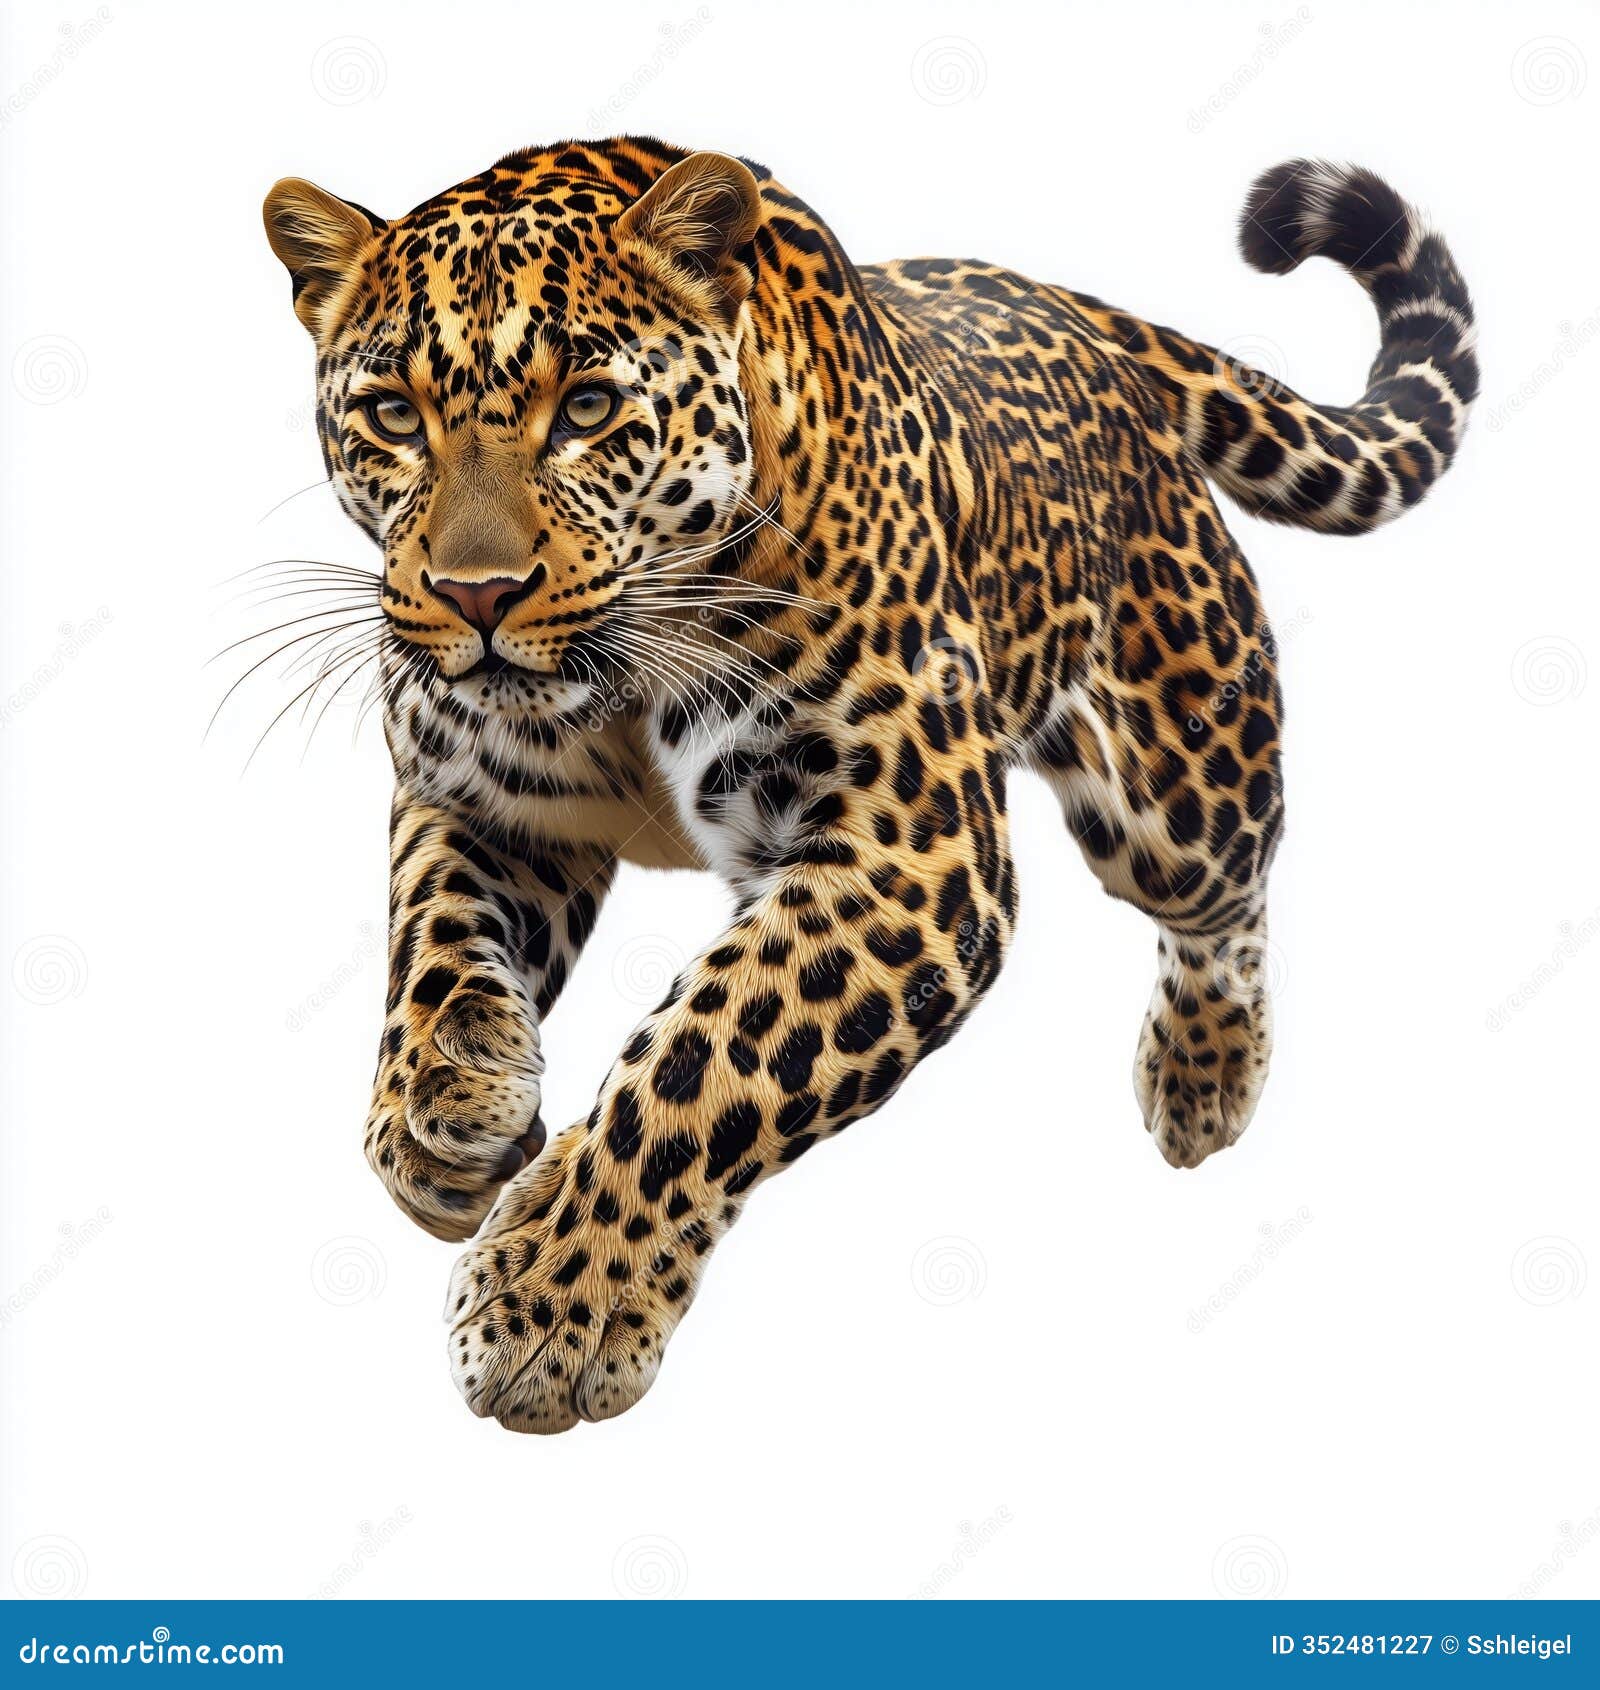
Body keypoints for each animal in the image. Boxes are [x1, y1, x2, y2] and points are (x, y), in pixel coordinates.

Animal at [263, 138, 1477, 1432]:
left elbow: (703, 1058)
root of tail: (1073, 309)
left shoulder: (909, 860)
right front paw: (440, 1113)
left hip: (1176, 778)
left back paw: (1205, 1077)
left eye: (586, 408)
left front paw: (552, 1304)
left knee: (1226, 899)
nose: (476, 595)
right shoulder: (484, 797)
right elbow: (432, 948)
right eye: (393, 416)